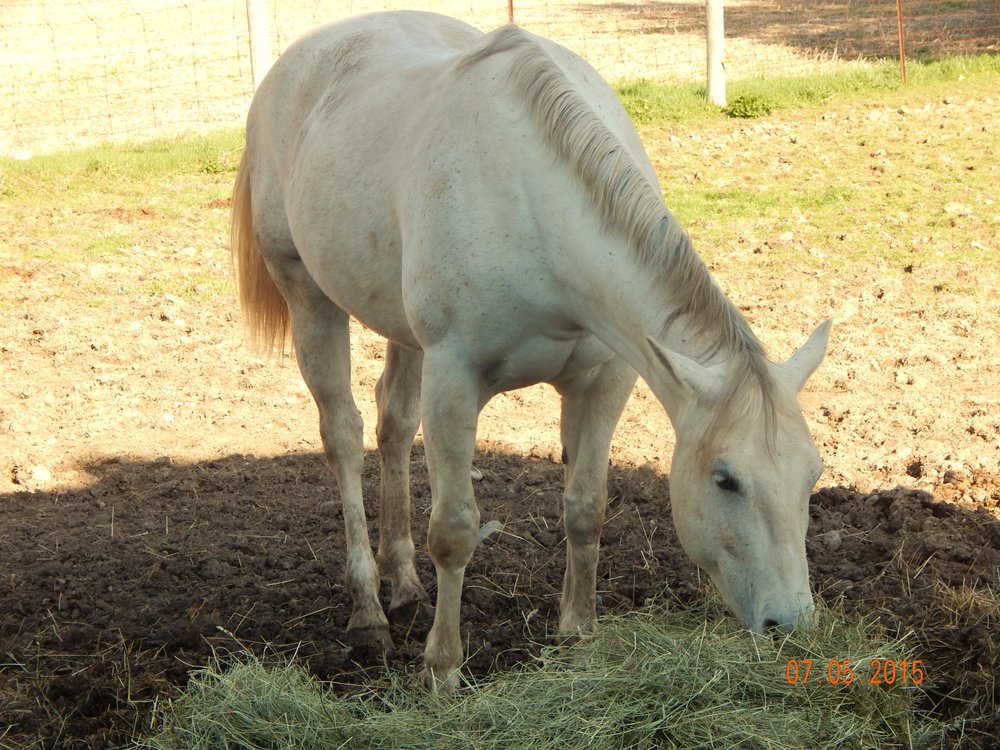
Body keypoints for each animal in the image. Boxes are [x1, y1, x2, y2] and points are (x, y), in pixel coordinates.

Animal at [230, 10, 831, 691]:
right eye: (725, 479)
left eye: (813, 475)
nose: (791, 624)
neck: (532, 203)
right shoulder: (455, 379)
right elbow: (454, 531)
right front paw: (443, 670)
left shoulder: (603, 380)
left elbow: (586, 508)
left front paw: (578, 635)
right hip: (310, 299)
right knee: (343, 435)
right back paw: (368, 612)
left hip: (402, 331)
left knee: (393, 425)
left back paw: (402, 582)